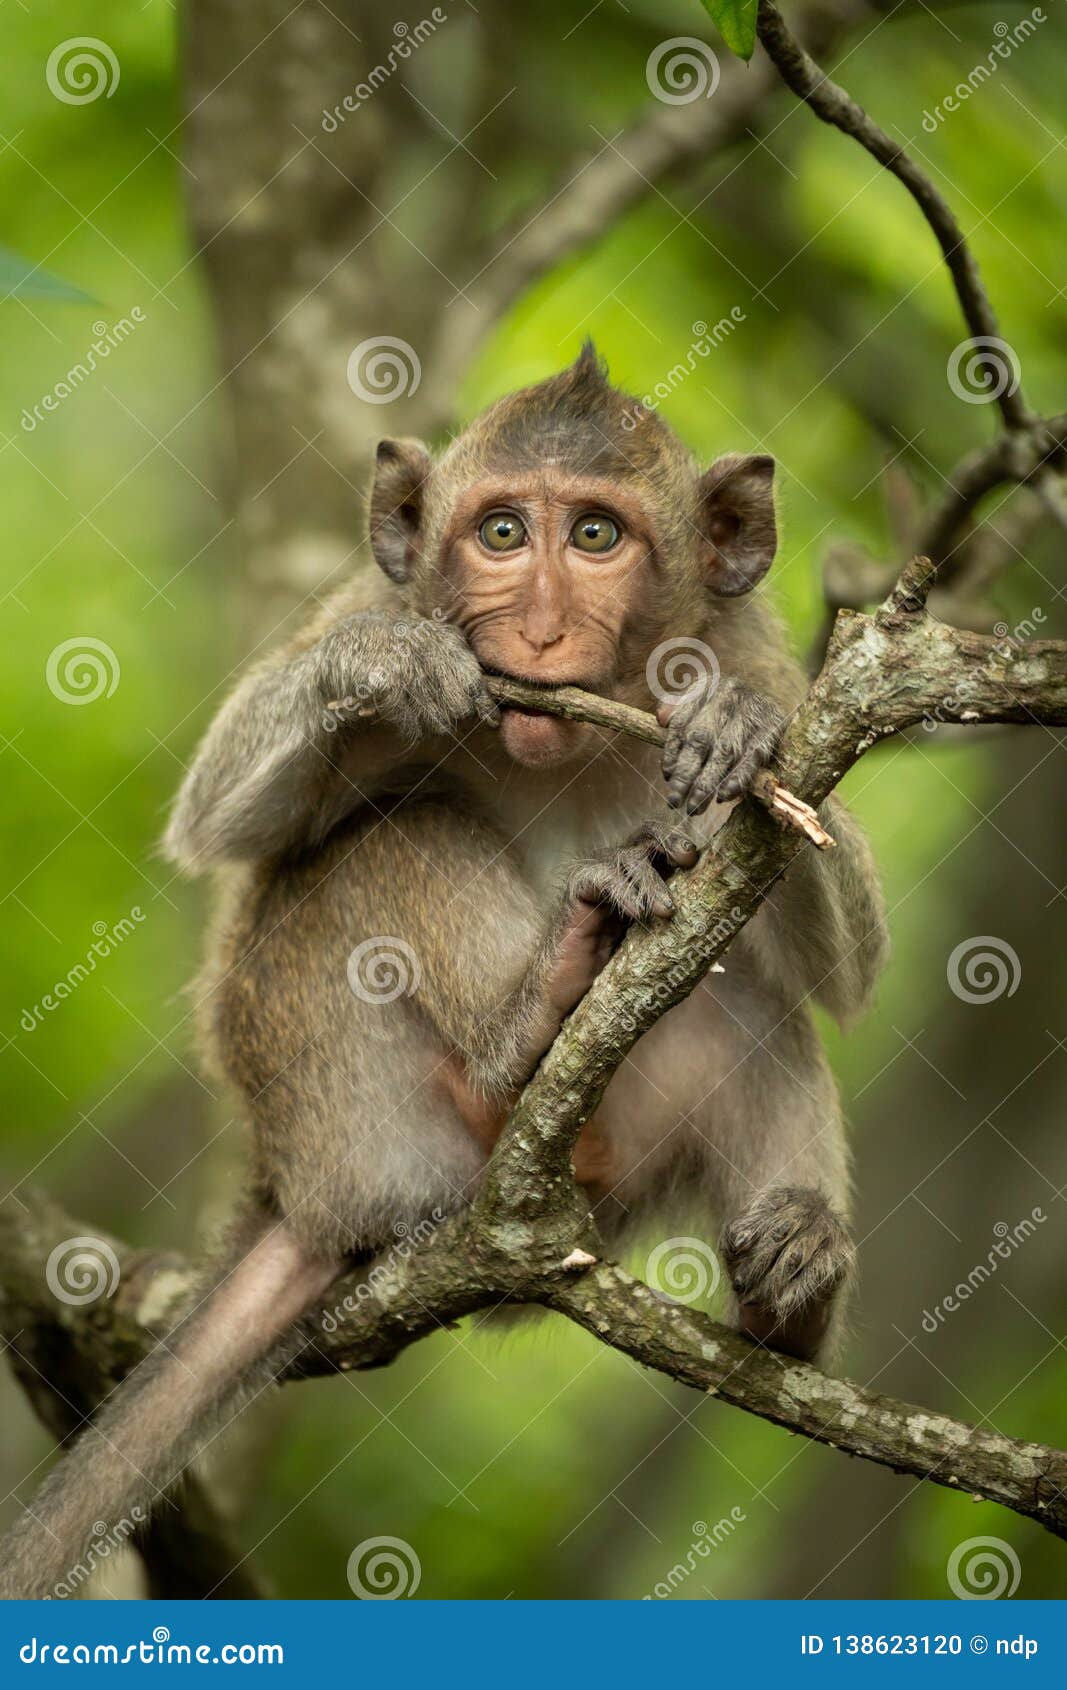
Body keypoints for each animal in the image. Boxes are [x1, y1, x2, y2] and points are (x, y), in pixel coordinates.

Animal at [0, 346, 887, 1599]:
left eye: (596, 537)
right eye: (501, 532)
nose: (540, 627)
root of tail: (290, 1185)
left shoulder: (748, 641)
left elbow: (838, 958)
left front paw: (741, 726)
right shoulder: (374, 594)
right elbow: (217, 817)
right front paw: (382, 669)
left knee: (752, 1001)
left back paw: (791, 1297)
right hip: (354, 1106)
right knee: (386, 833)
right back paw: (526, 1014)